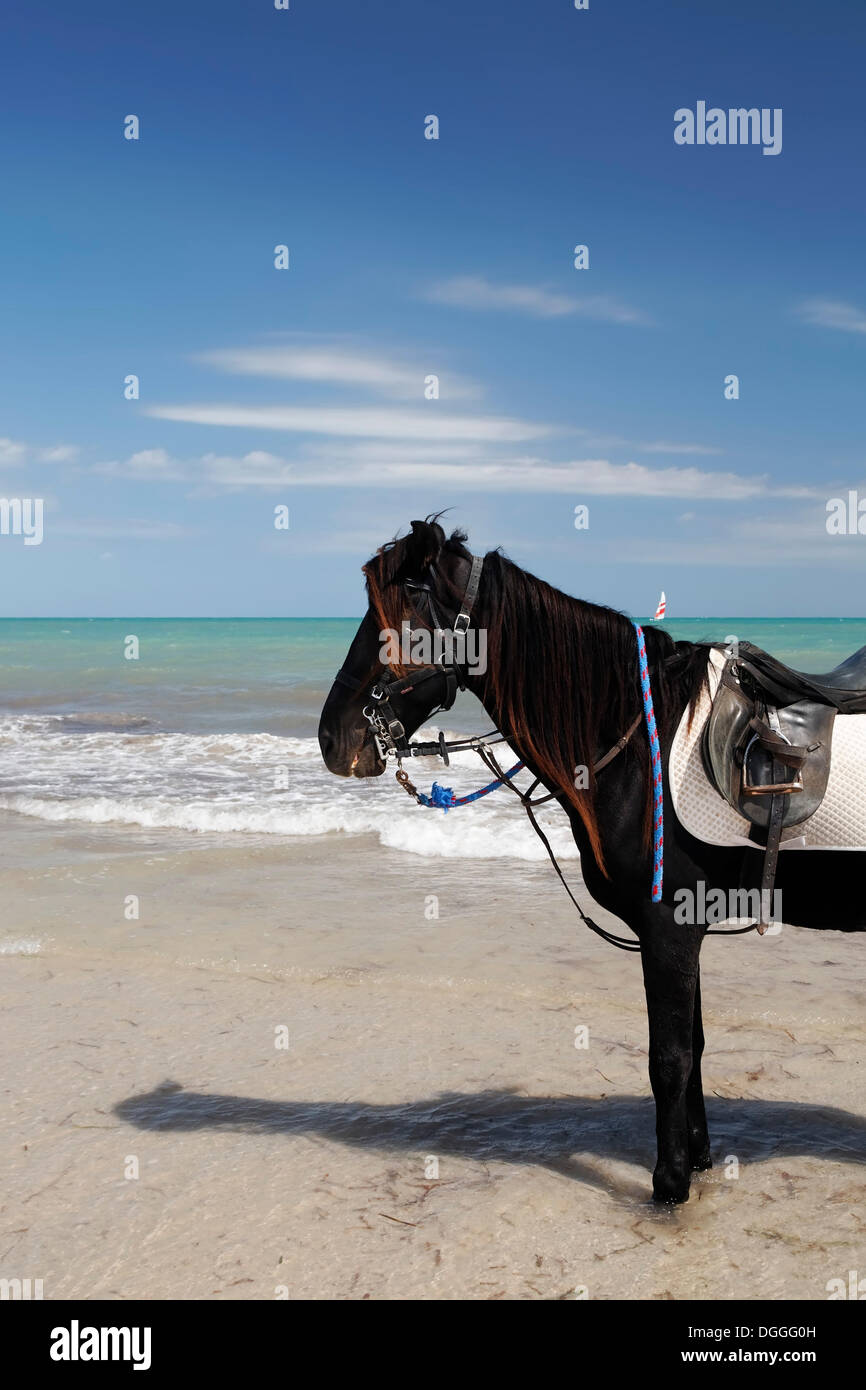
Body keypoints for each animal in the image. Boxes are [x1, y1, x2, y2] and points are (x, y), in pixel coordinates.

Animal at [318, 517, 866, 1203]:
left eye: (397, 617)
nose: (332, 738)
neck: (635, 745)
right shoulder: (683, 933)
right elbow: (694, 1047)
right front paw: (698, 1157)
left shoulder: (669, 930)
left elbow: (670, 1059)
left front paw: (670, 1182)